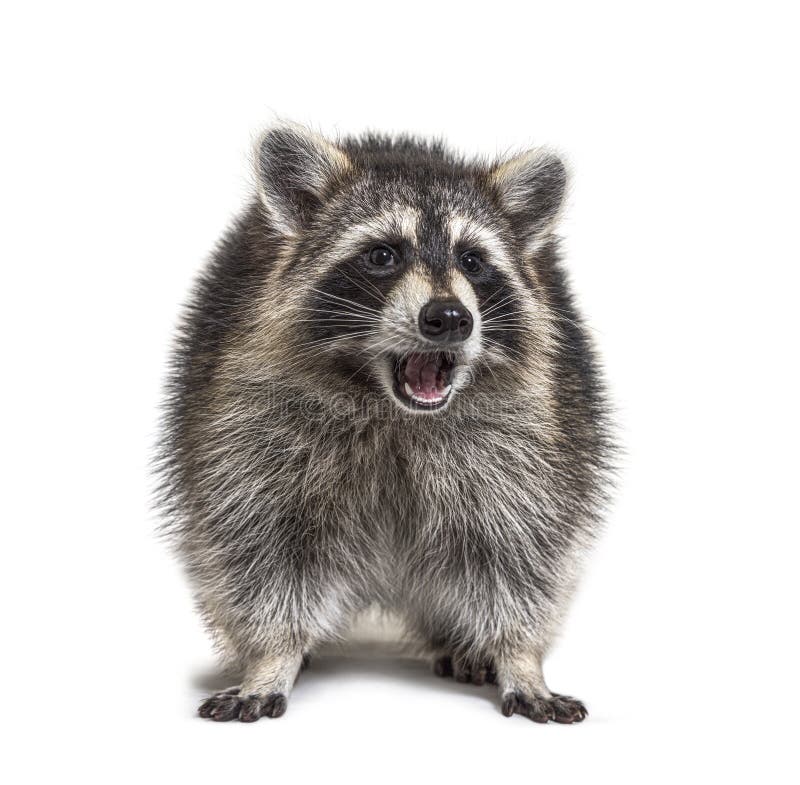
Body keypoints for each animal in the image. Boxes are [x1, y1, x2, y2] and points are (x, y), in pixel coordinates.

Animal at [158, 122, 612, 724]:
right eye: (382, 255)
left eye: (473, 261)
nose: (449, 318)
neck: (395, 412)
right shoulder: (246, 419)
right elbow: (259, 546)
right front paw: (272, 656)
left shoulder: (534, 432)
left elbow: (522, 552)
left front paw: (519, 656)